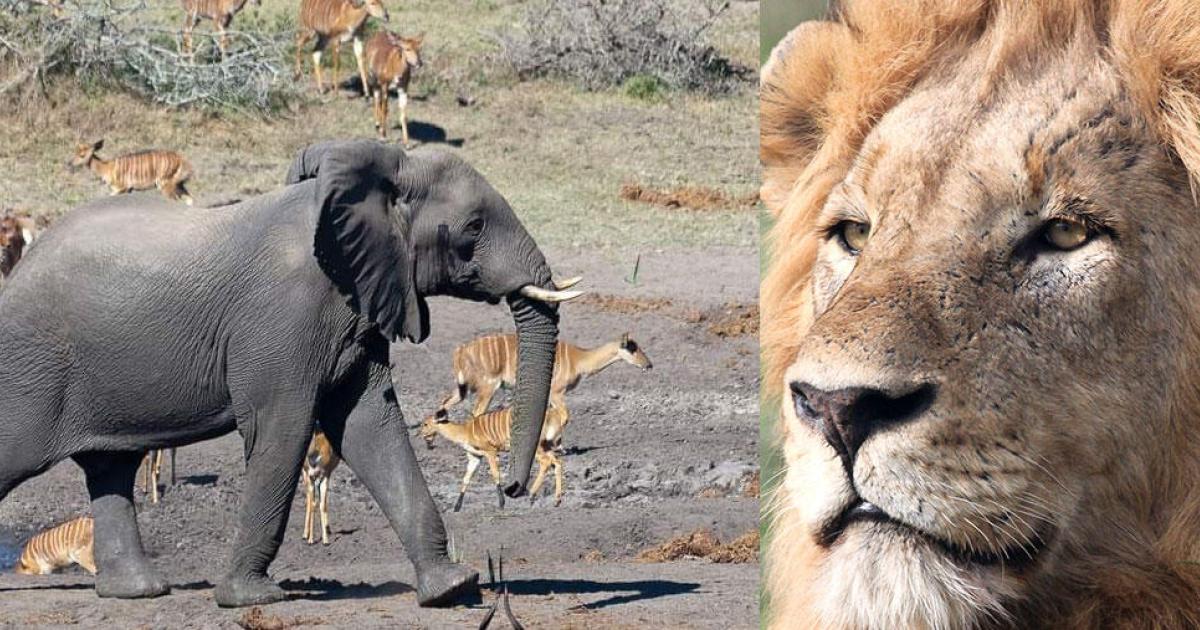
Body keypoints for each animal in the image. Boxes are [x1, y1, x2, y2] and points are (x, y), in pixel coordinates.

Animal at [0, 139, 580, 608]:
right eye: (474, 226)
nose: (511, 488)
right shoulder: (282, 321)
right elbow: (283, 431)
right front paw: (248, 598)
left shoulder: (355, 306)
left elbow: (371, 425)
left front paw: (450, 589)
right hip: (32, 368)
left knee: (111, 466)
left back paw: (138, 591)